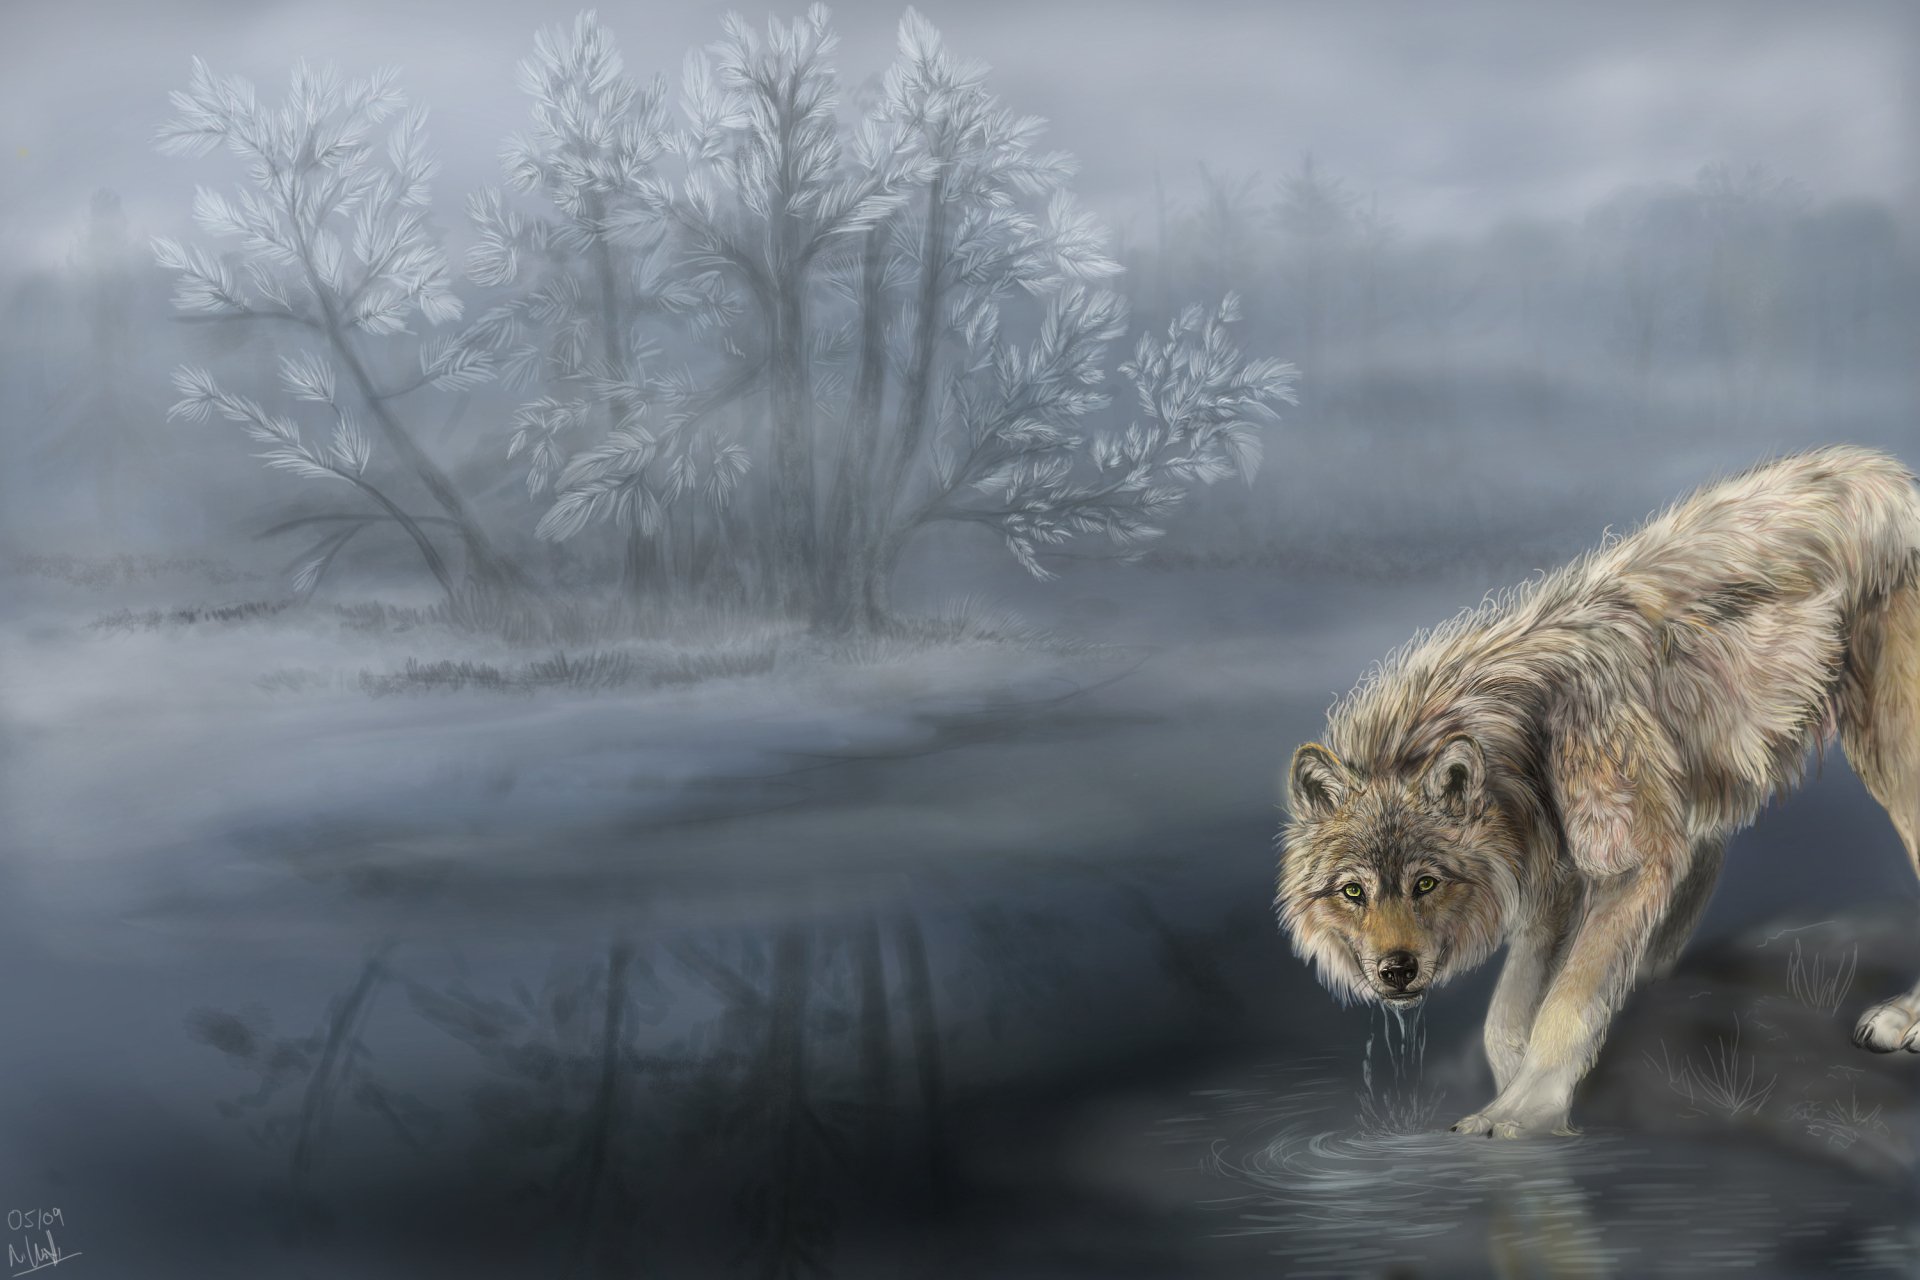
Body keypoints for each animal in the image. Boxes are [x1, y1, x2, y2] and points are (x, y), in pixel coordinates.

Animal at [1275, 445, 1920, 1139]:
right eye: (1353, 892)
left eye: (1426, 883)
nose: (1397, 970)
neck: (1522, 742)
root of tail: (1892, 477)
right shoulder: (1553, 875)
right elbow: (1505, 1017)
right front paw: (1509, 1085)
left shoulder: (1628, 864)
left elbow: (1568, 1002)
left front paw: (1525, 1113)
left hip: (1894, 765)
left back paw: (1902, 1019)